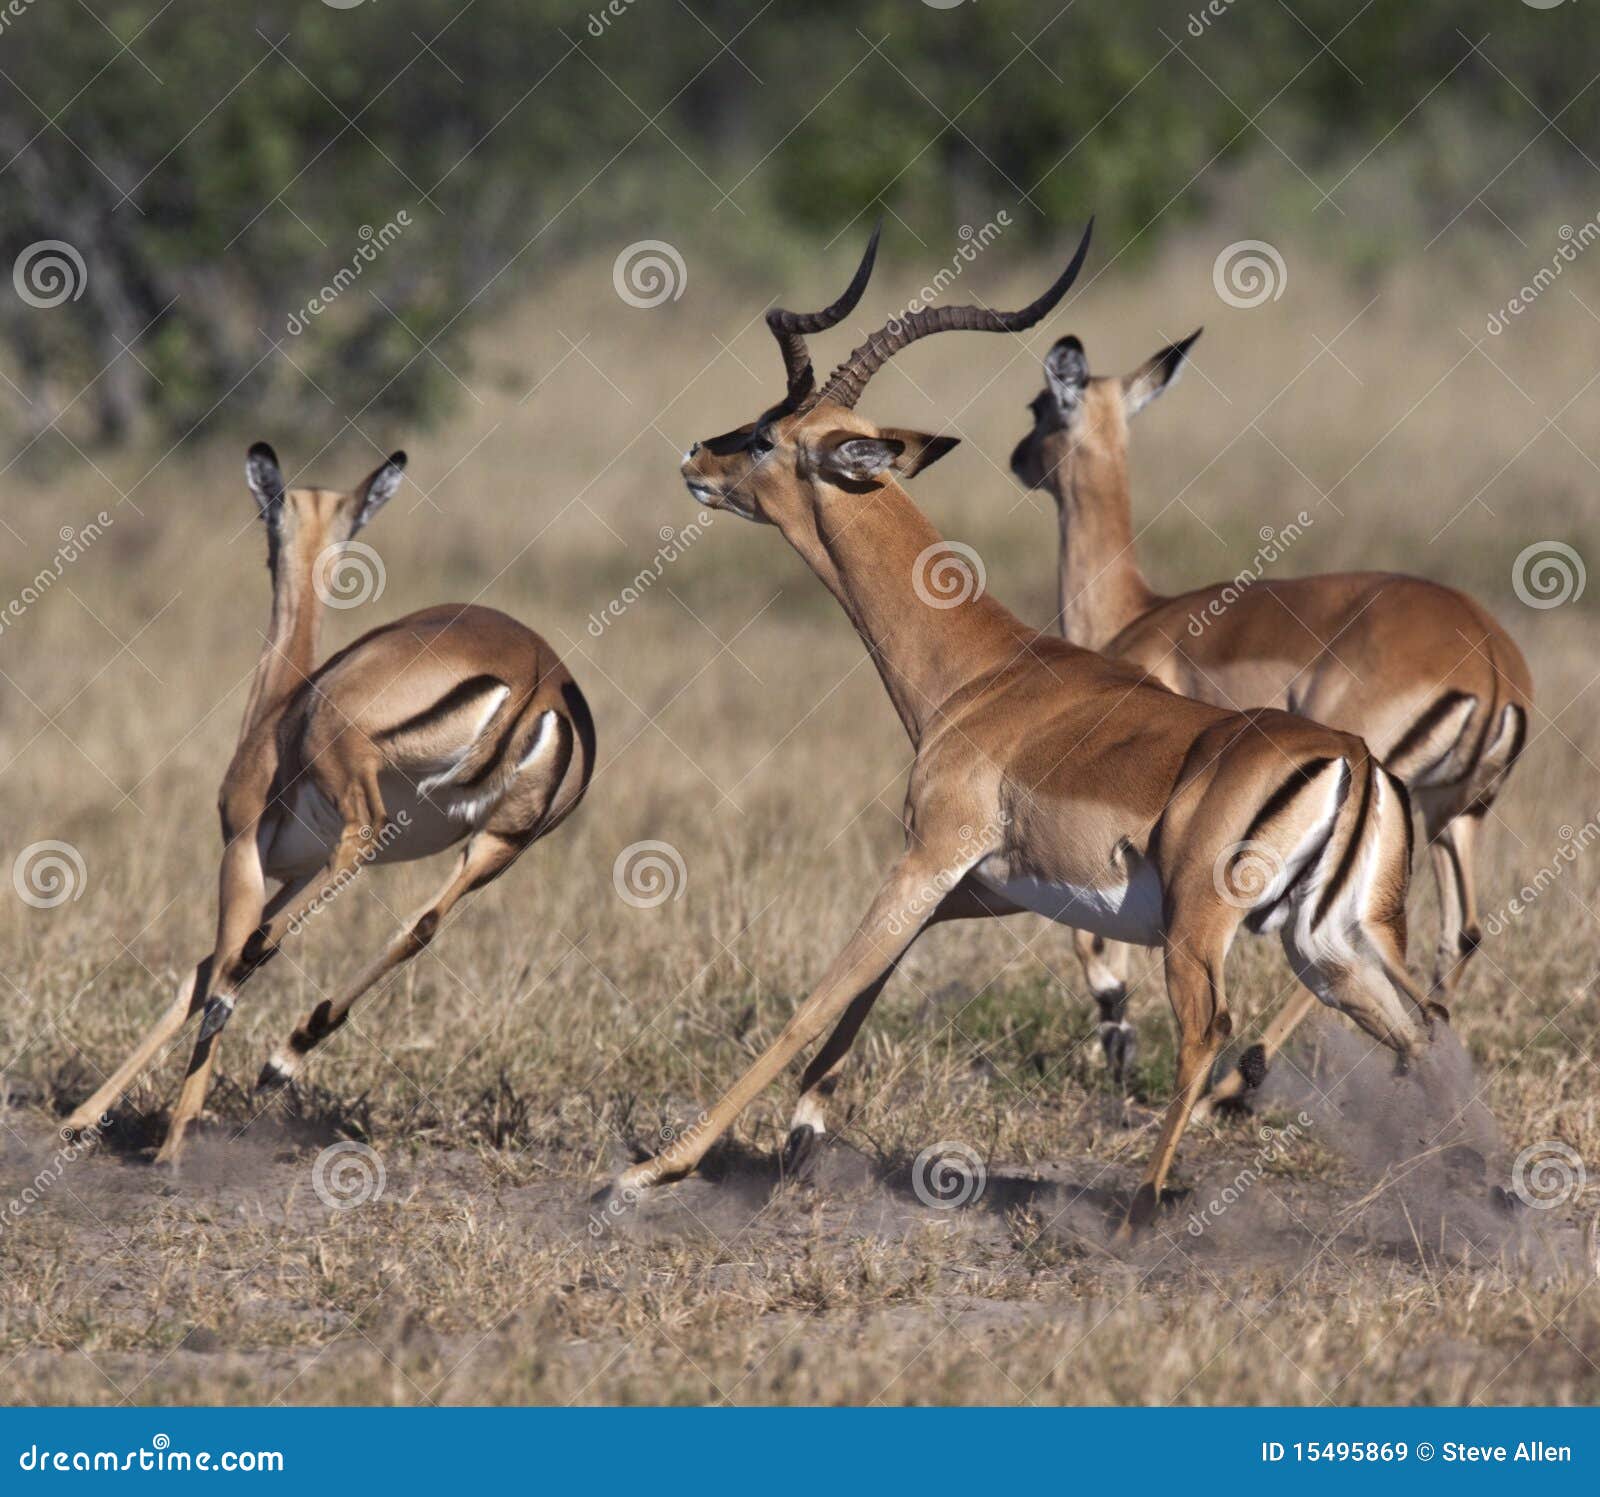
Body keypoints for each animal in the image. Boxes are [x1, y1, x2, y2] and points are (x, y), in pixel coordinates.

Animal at [63, 443, 594, 1163]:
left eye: (267, 523)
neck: (277, 706)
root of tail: (537, 677)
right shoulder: (295, 874)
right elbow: (196, 976)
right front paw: (84, 1119)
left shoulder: (246, 854)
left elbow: (206, 968)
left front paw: (167, 1140)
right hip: (497, 846)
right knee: (421, 925)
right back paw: (288, 1052)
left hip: (358, 791)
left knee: (275, 932)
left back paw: (259, 1034)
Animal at [618, 223, 1445, 1235]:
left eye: (771, 434)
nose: (697, 455)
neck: (981, 672)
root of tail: (1353, 761)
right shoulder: (983, 885)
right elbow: (868, 988)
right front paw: (801, 1138)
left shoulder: (928, 854)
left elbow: (816, 999)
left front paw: (655, 1168)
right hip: (1336, 945)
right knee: (1420, 1027)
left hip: (1203, 930)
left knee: (1210, 1031)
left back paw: (1141, 1209)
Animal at [1010, 332, 1531, 1105]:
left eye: (1040, 407)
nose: (1018, 458)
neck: (1139, 611)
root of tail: (1491, 660)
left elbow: (1089, 930)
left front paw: (1120, 1045)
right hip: (1453, 816)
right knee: (1459, 934)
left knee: (1344, 943)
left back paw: (1234, 1087)